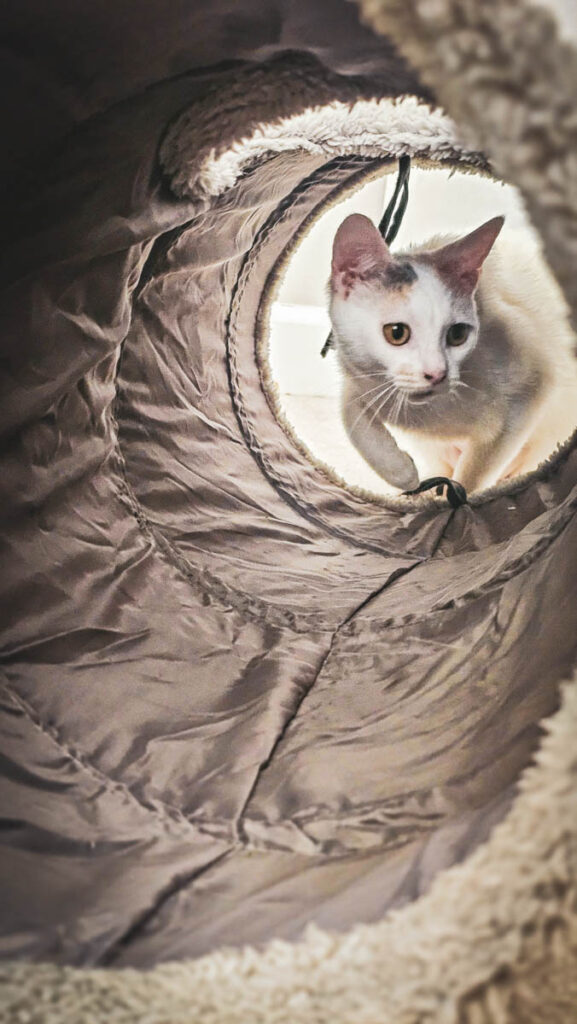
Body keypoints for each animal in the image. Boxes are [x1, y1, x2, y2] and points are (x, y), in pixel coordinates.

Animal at [330, 211, 577, 491]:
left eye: (457, 335)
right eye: (396, 333)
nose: (437, 374)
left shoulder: (533, 380)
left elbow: (473, 474)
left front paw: (458, 497)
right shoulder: (360, 375)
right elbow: (349, 411)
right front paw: (402, 472)